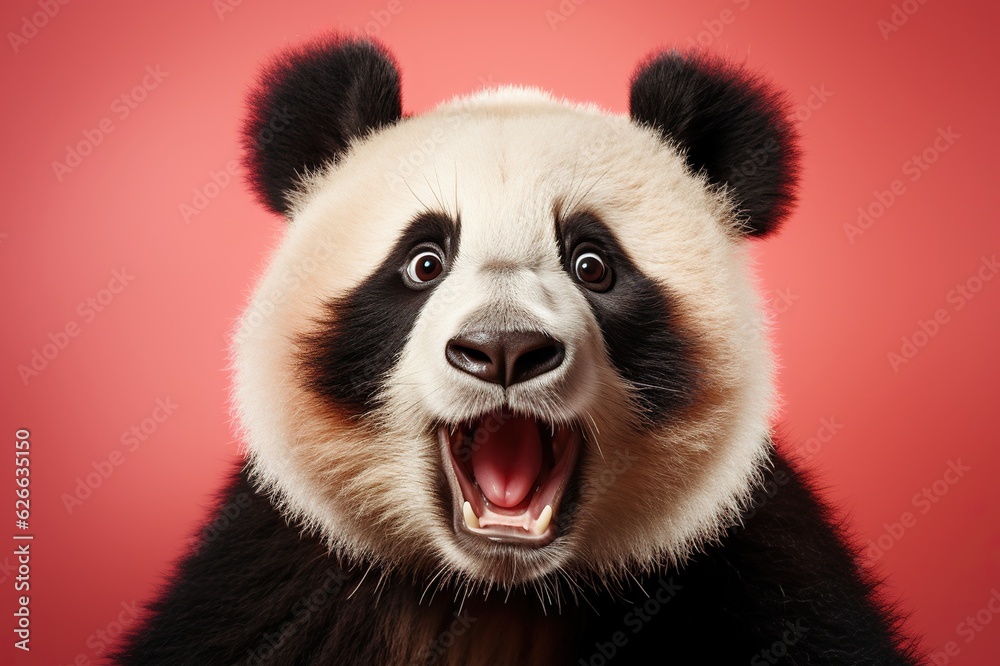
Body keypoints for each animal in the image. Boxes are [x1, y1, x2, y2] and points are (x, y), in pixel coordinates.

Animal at [115, 34, 921, 665]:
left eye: (593, 264)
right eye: (424, 262)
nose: (503, 349)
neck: (502, 593)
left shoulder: (752, 578)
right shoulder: (277, 590)